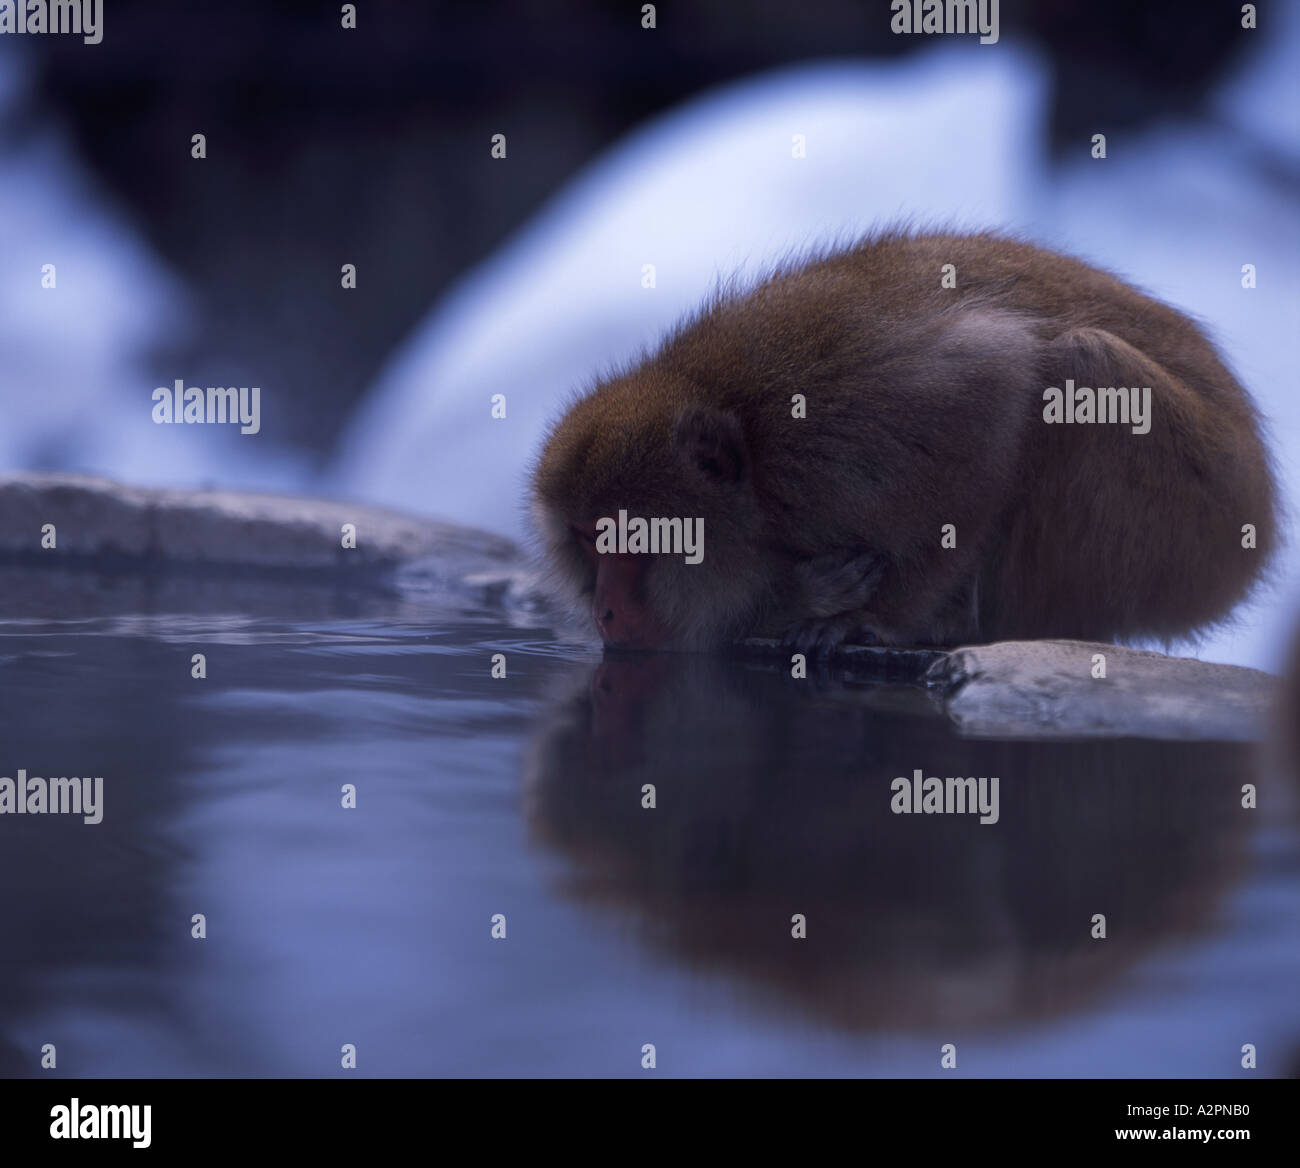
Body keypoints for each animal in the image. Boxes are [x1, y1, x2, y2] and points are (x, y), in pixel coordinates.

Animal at [531, 230, 1279, 654]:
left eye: (632, 542)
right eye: (589, 542)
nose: (603, 609)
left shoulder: (842, 428)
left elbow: (997, 385)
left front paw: (875, 620)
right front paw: (796, 597)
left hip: (1198, 528)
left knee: (1080, 369)